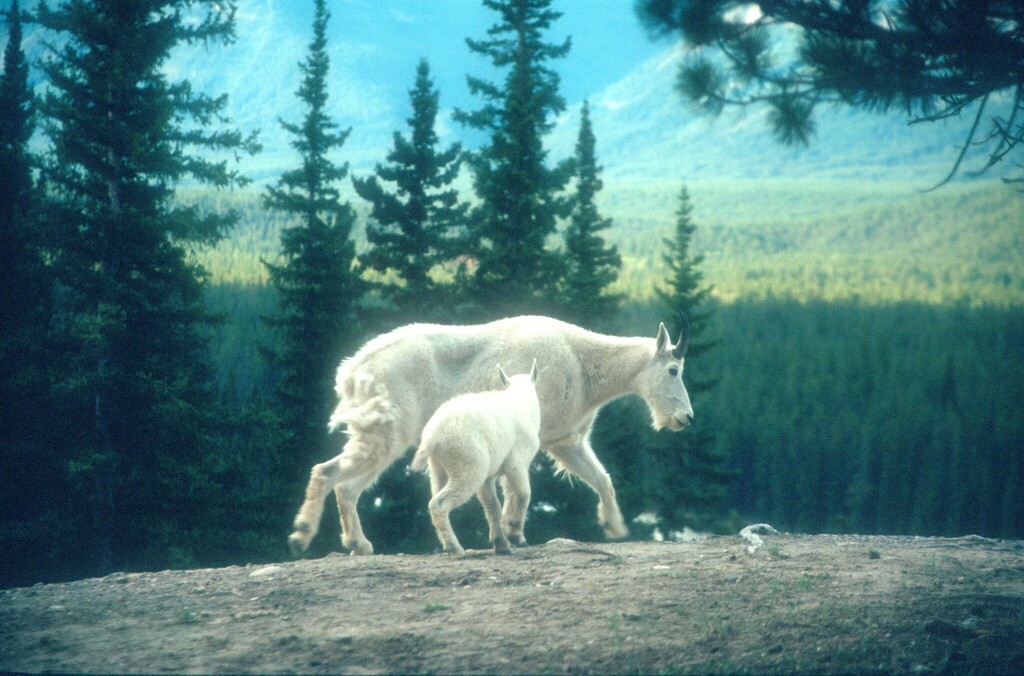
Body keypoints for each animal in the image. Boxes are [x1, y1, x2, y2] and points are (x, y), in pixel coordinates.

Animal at [410, 360, 541, 556]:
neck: (523, 404)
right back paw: (455, 548)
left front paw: (501, 543)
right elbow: (524, 494)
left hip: (439, 466)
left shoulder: (490, 475)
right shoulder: (517, 461)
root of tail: (433, 437)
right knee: (439, 503)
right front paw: (516, 535)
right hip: (469, 462)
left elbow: (493, 505)